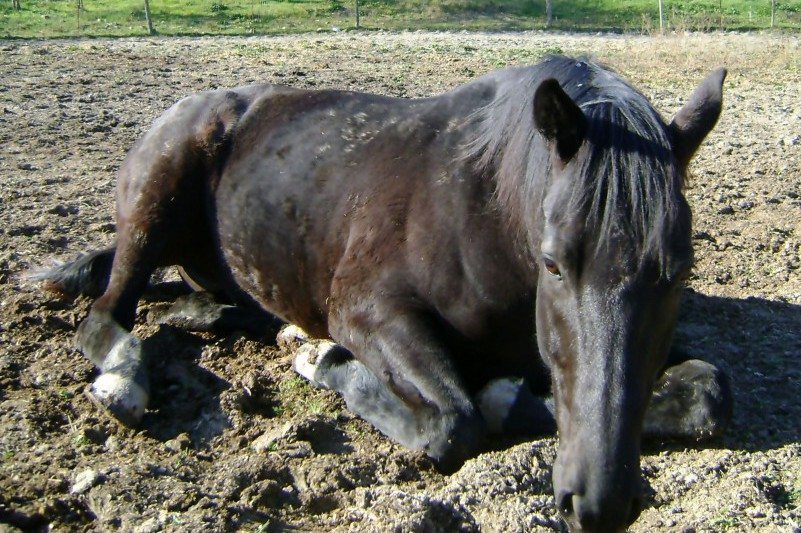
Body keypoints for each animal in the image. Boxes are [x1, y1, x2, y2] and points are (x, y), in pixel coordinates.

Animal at [35, 55, 732, 531]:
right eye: (554, 264)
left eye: (677, 271)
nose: (598, 500)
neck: (489, 205)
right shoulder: (367, 311)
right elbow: (455, 421)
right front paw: (327, 363)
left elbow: (708, 395)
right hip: (151, 212)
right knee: (106, 314)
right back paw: (125, 378)